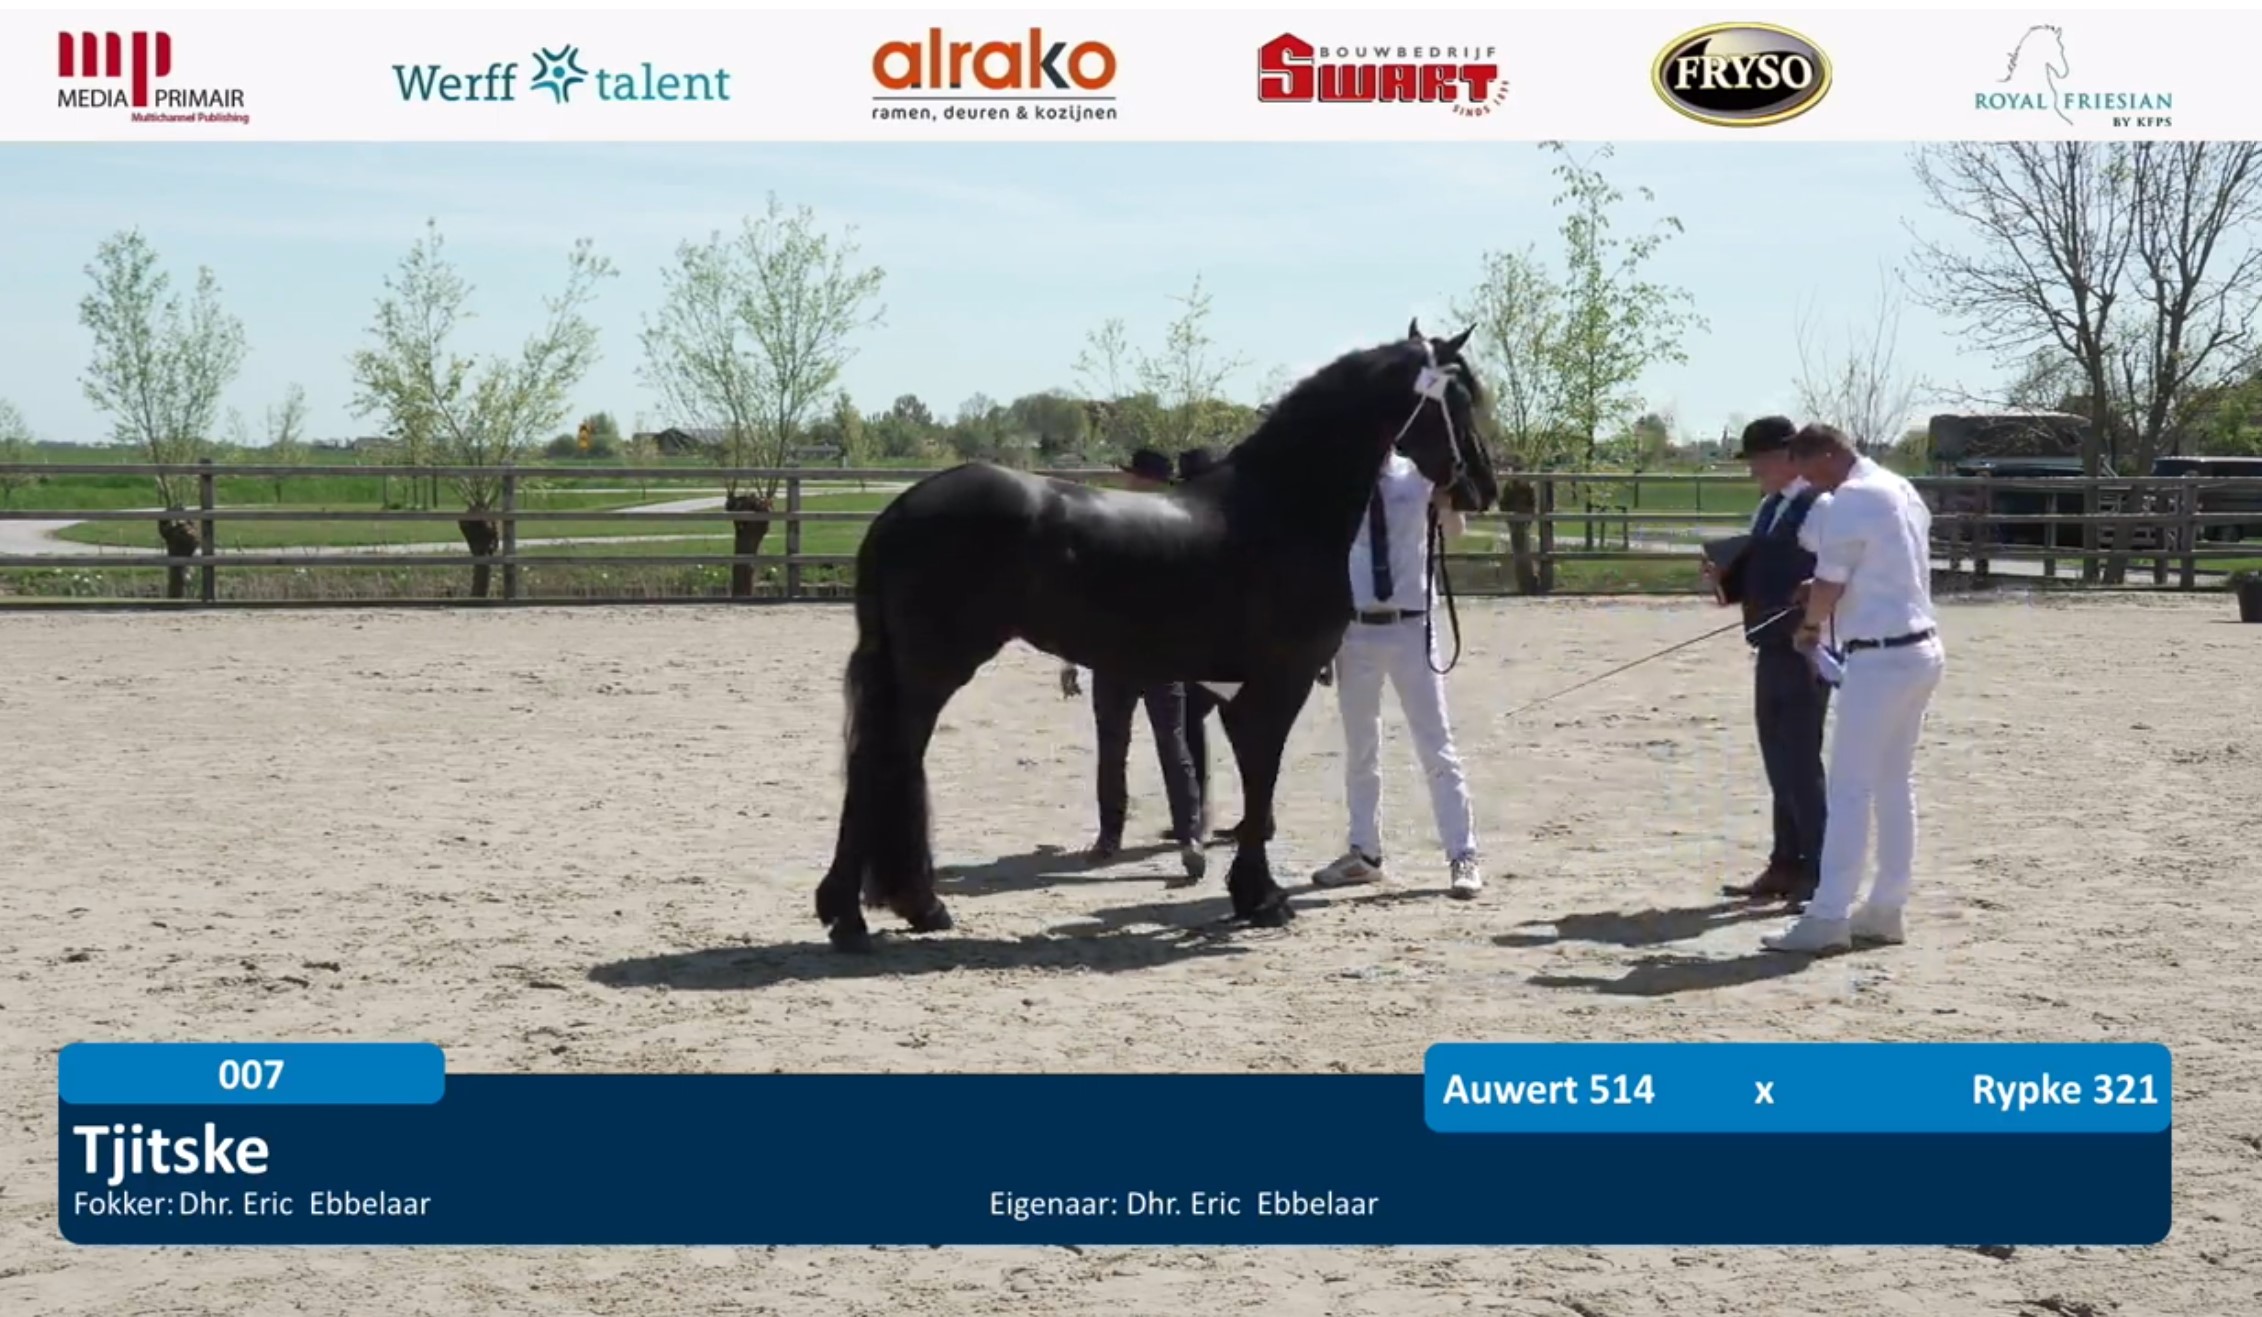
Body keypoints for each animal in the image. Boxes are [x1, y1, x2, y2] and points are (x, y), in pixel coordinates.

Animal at [814, 321, 1497, 954]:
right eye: (1460, 397)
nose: (1480, 488)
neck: (1280, 507)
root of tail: (900, 510)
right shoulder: (1280, 682)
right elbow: (1261, 778)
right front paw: (1261, 898)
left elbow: (1252, 780)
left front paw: (1250, 891)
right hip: (931, 671)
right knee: (884, 763)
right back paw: (867, 916)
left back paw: (892, 909)